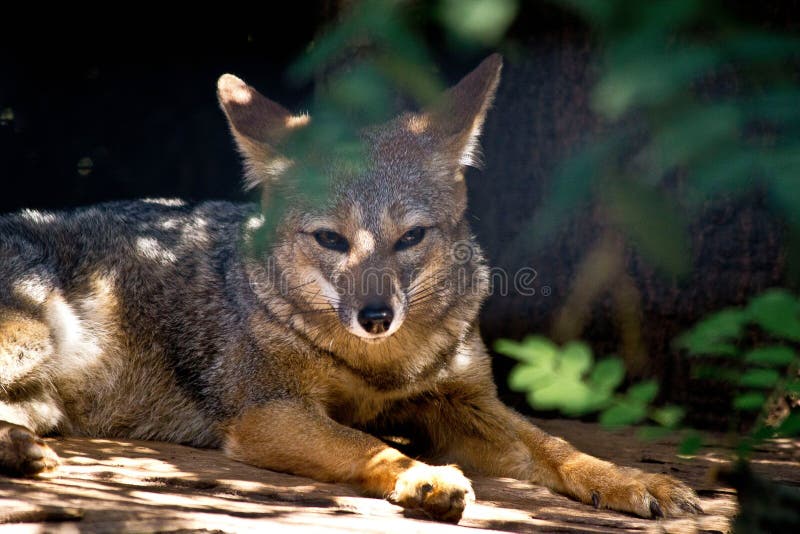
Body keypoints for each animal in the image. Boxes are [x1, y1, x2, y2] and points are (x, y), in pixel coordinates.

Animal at [0, 54, 702, 523]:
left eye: (411, 237)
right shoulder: (266, 410)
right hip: (36, 335)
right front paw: (422, 477)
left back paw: (22, 451)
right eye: (331, 240)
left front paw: (628, 479)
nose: (375, 315)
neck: (381, 368)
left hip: (43, 395)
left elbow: (557, 444)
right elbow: (366, 442)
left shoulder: (465, 403)